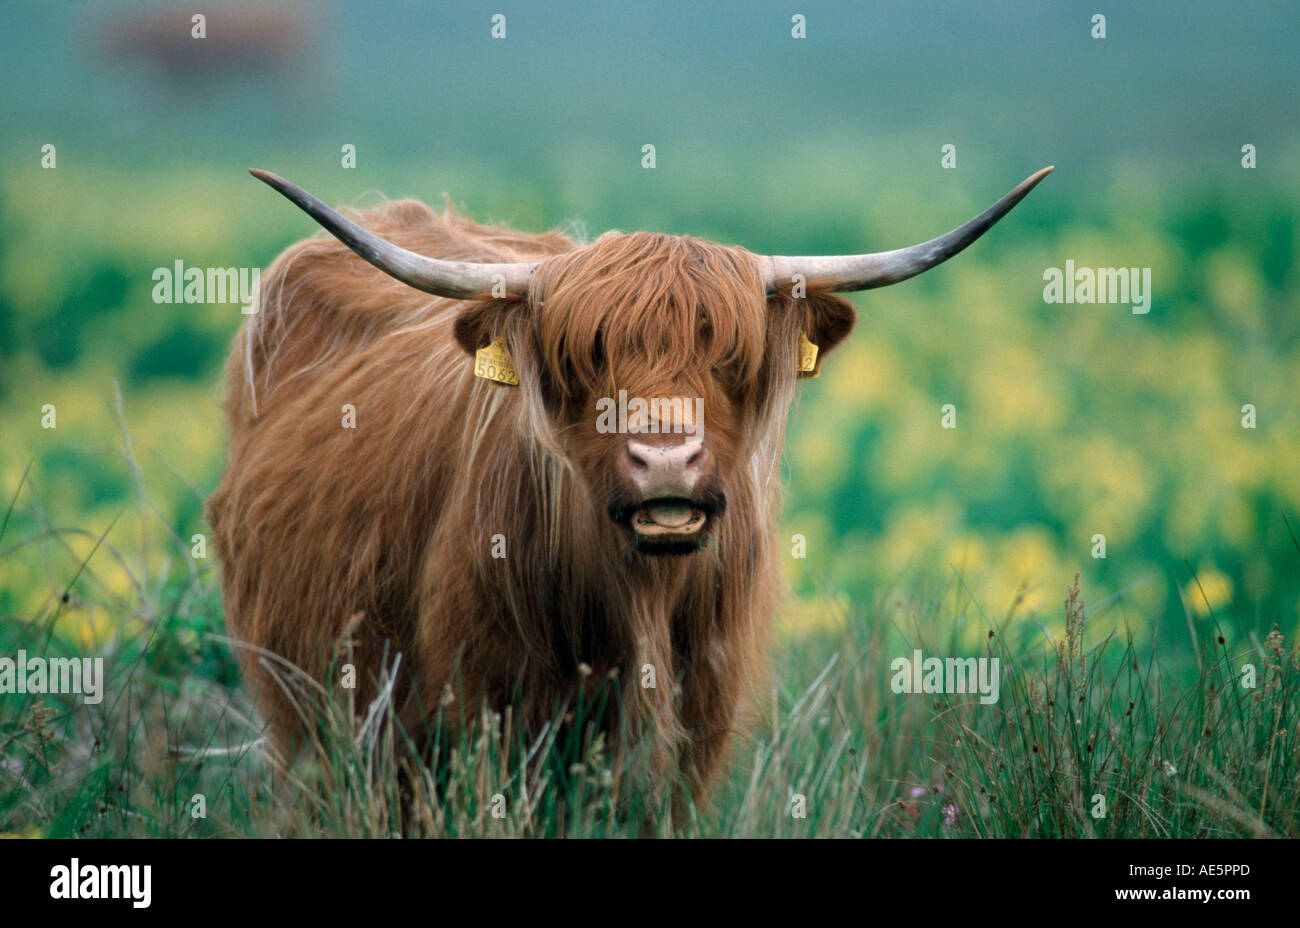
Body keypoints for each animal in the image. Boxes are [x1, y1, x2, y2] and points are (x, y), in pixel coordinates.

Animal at [207, 165, 1051, 810]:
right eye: (586, 359)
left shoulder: (698, 723)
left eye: (731, 360)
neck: (640, 594)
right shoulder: (476, 717)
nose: (666, 458)